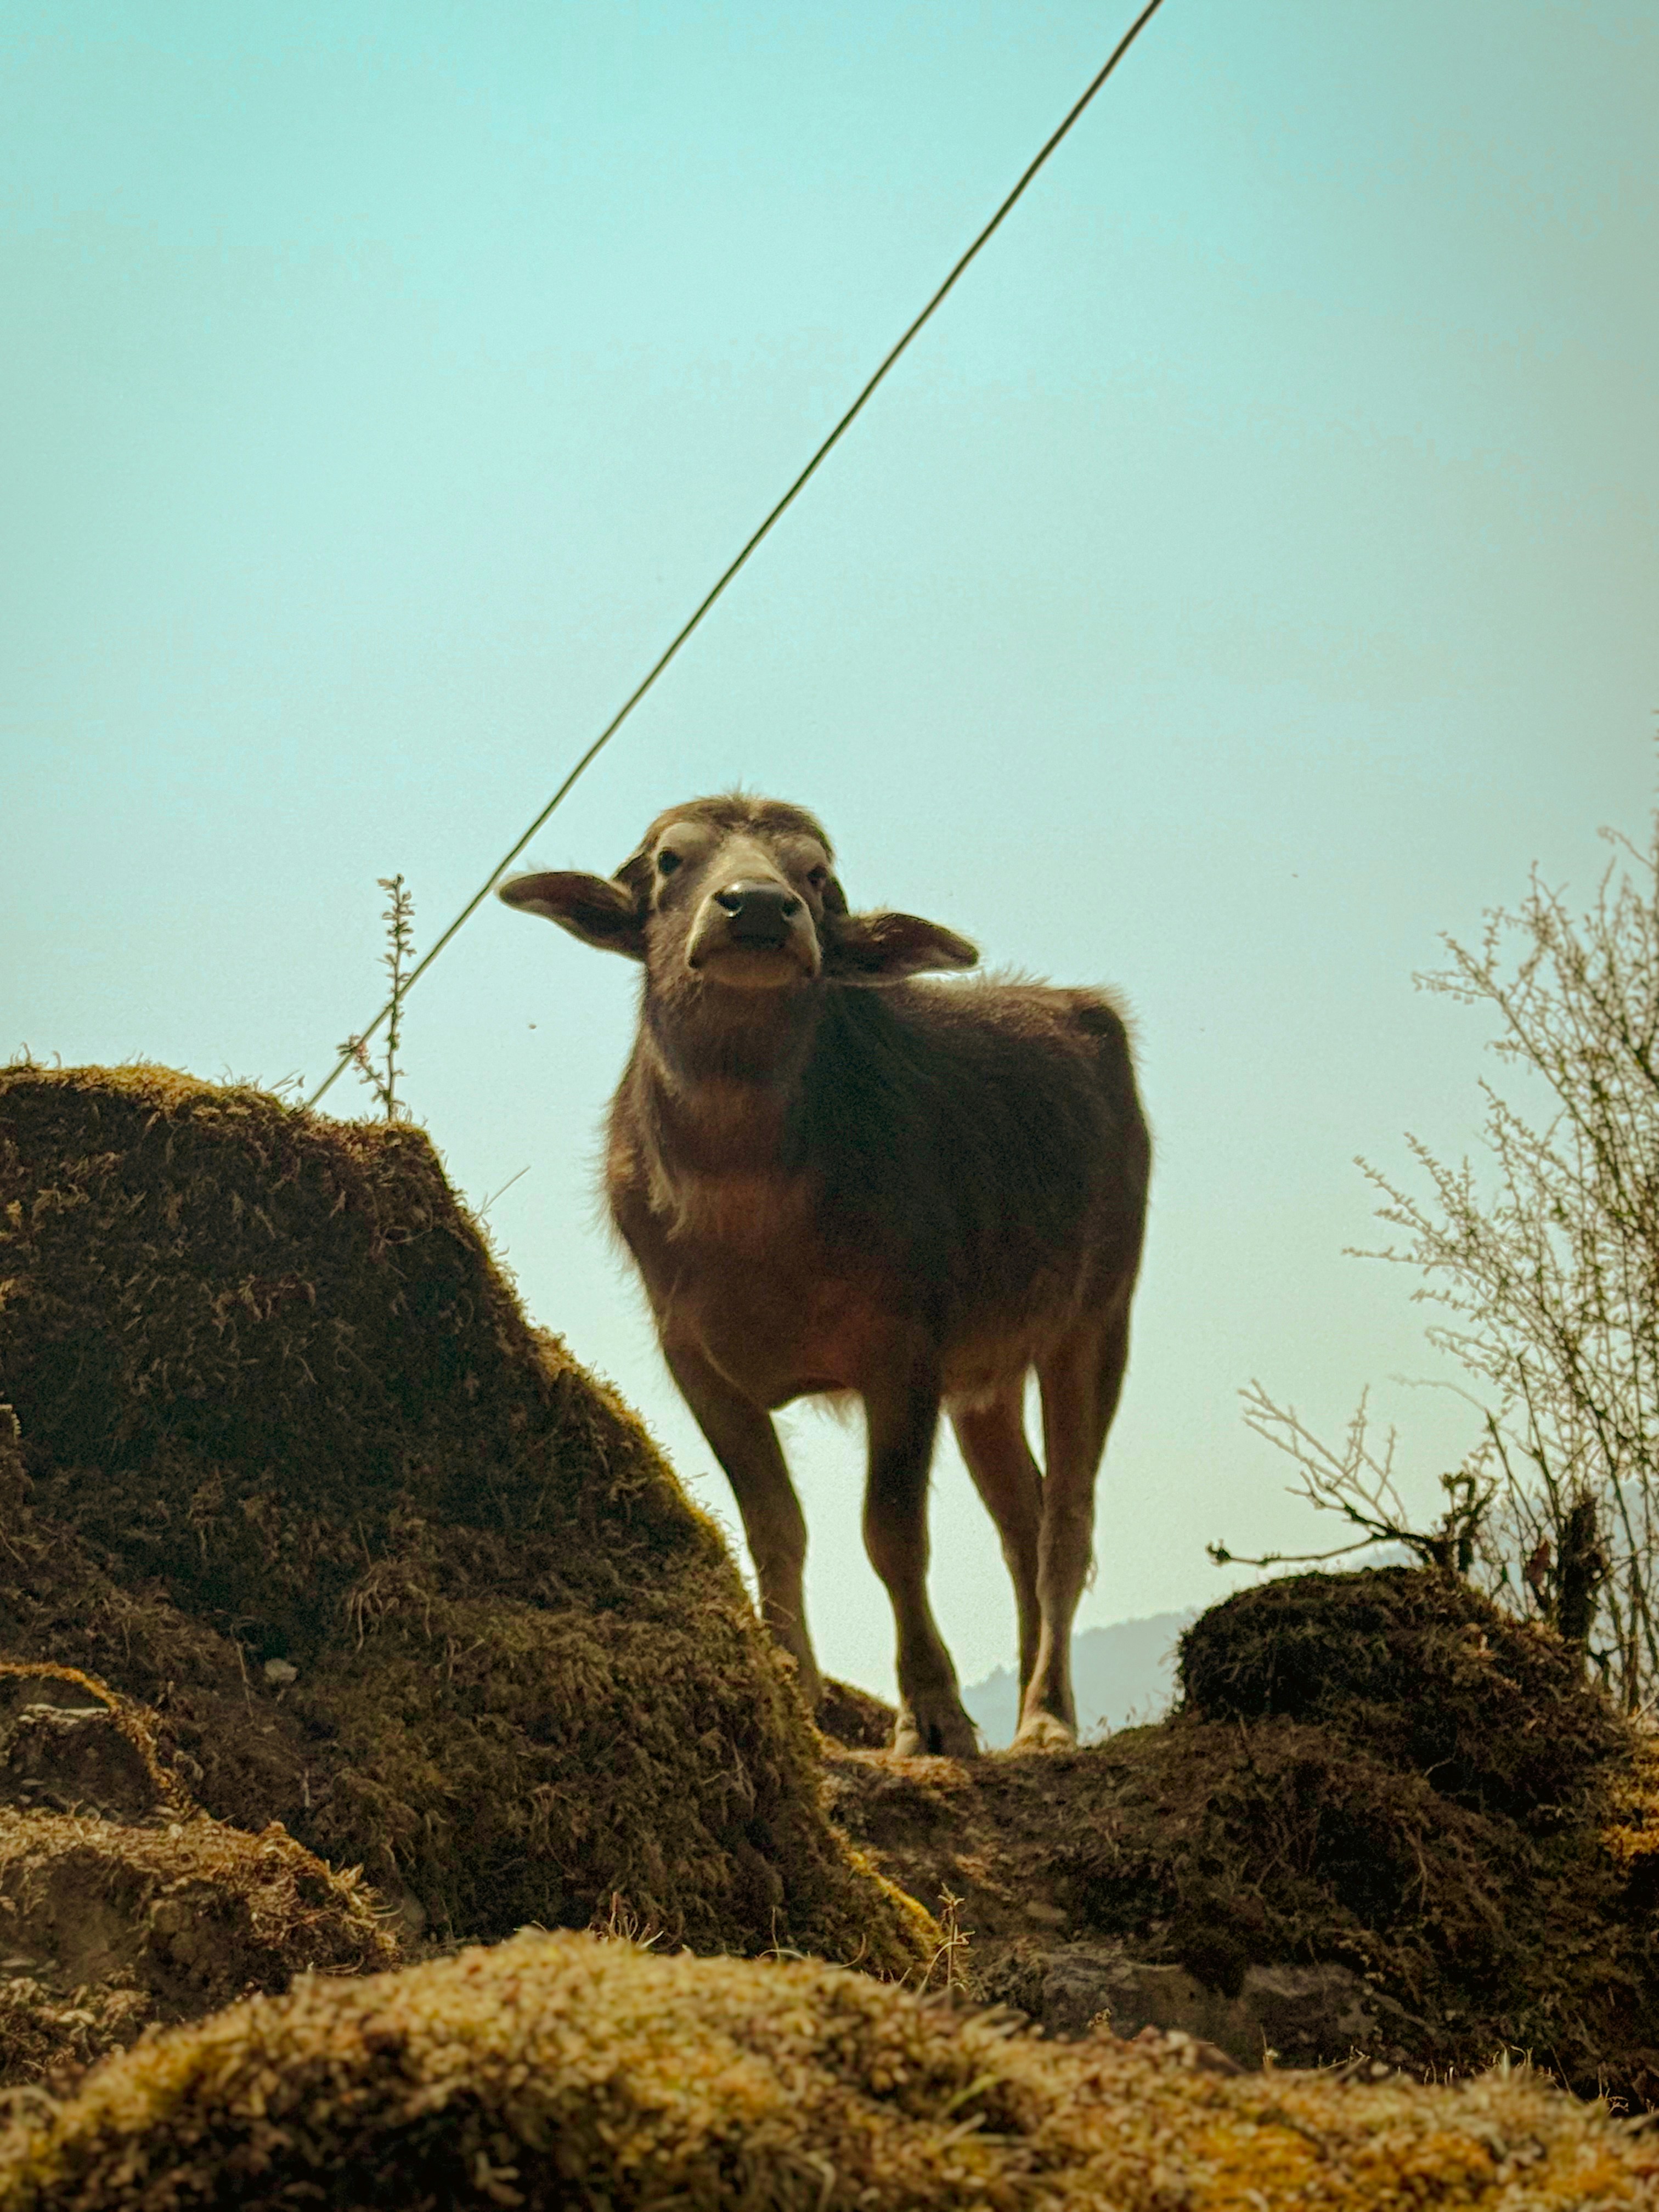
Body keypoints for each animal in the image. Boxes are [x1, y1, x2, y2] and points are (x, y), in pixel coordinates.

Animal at [500, 794, 1150, 1757]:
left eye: (812, 873)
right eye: (671, 861)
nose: (758, 909)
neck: (748, 1205)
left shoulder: (903, 1355)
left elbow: (892, 1534)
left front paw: (933, 1716)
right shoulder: (695, 1362)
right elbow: (775, 1526)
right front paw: (796, 1694)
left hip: (1096, 1320)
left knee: (1067, 1522)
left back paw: (1045, 1719)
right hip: (986, 1382)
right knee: (1022, 1520)